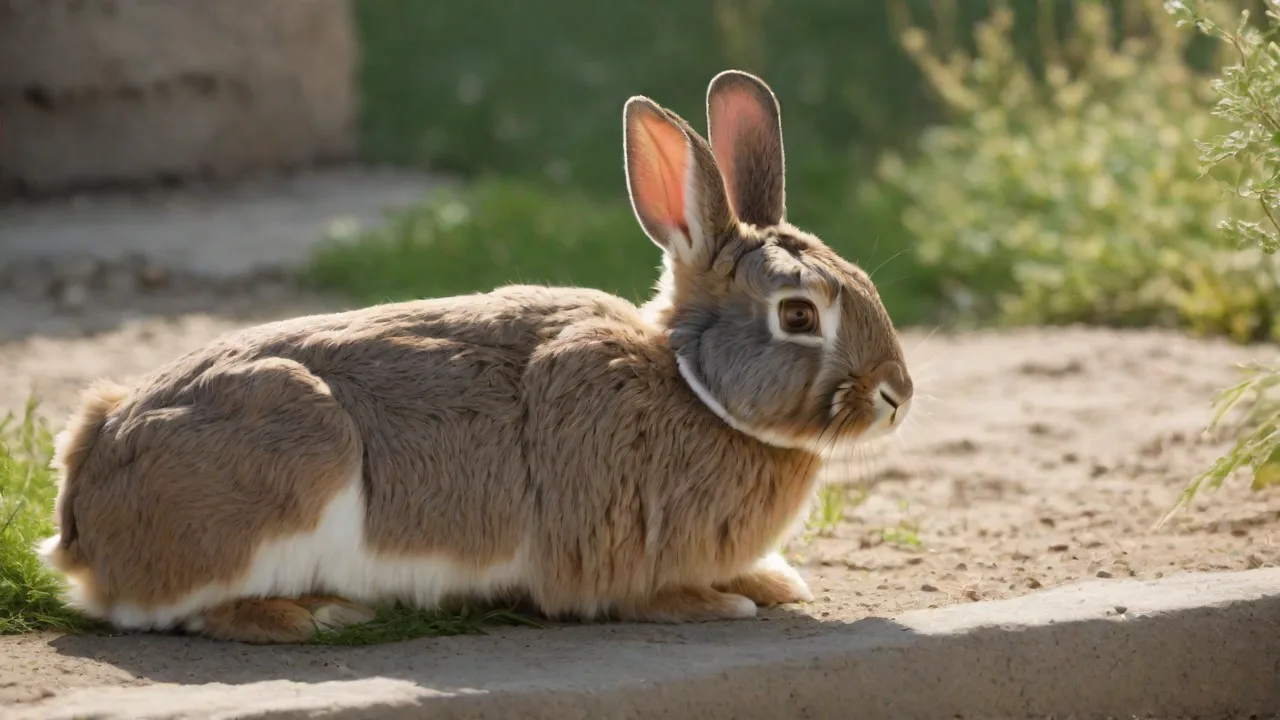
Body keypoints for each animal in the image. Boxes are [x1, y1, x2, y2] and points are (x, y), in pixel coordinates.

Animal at [37, 70, 914, 644]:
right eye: (798, 315)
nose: (898, 394)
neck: (693, 388)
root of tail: (86, 514)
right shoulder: (611, 558)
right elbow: (645, 597)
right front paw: (726, 604)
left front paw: (773, 581)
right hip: (288, 466)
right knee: (191, 611)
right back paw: (318, 613)